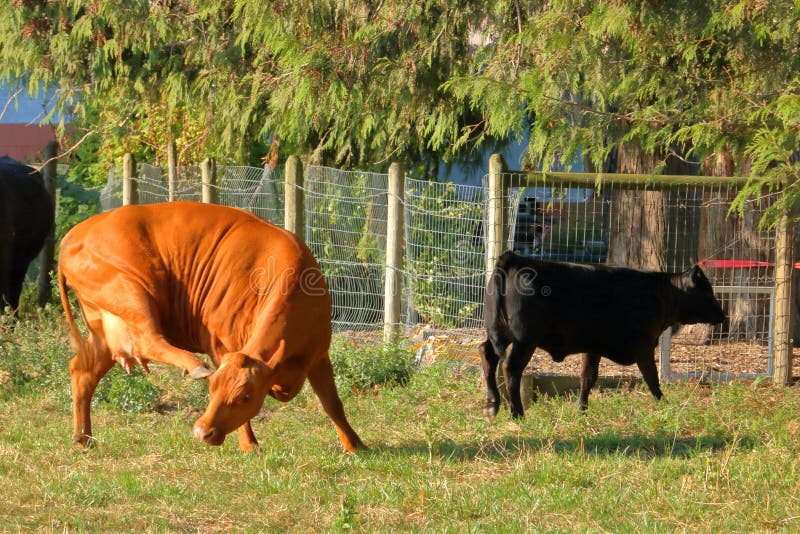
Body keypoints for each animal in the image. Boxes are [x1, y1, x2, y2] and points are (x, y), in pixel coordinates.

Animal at [58, 201, 365, 453]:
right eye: (212, 389)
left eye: (245, 396)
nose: (201, 431)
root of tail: (74, 234)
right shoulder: (219, 346)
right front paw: (249, 445)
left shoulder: (319, 355)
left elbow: (332, 403)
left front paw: (355, 445)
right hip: (131, 291)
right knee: (147, 339)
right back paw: (194, 365)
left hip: (105, 329)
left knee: (82, 370)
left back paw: (83, 438)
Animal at [479, 251, 726, 420]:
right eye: (706, 291)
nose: (723, 314)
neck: (659, 292)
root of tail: (515, 259)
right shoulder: (644, 346)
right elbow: (651, 377)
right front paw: (664, 403)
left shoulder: (593, 347)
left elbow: (588, 377)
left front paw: (582, 409)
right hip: (524, 341)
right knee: (510, 369)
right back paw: (517, 413)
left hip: (499, 334)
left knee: (487, 355)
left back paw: (492, 404)